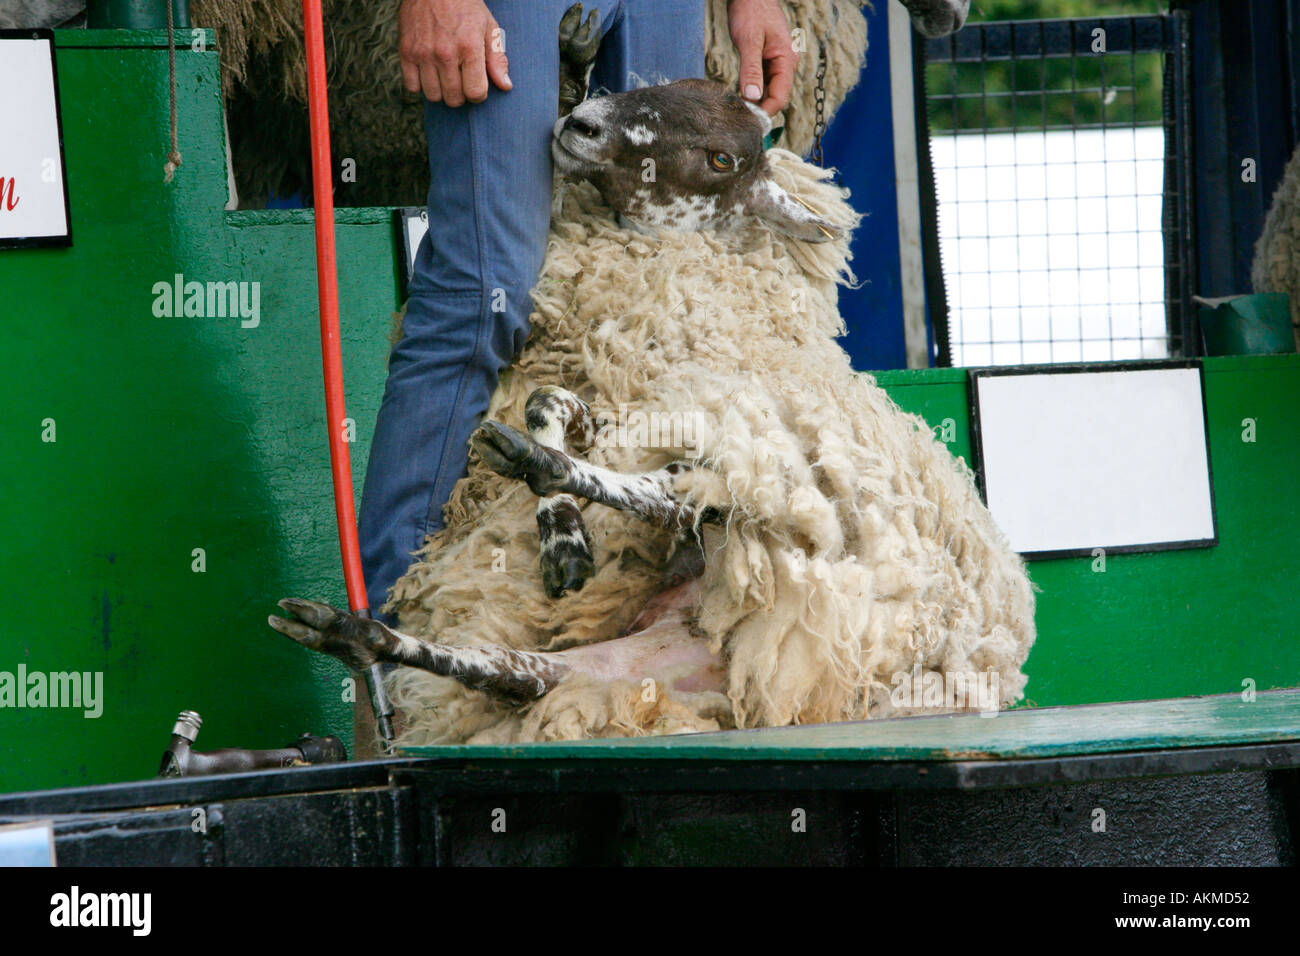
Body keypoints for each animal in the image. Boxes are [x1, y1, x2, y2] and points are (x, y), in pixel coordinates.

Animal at [269, 51, 1036, 747]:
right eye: (675, 88)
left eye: (722, 159)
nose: (579, 123)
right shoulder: (627, 417)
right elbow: (547, 401)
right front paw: (562, 538)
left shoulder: (731, 443)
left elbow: (604, 456)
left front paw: (555, 508)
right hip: (627, 659)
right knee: (516, 670)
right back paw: (352, 633)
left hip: (769, 511)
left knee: (673, 502)